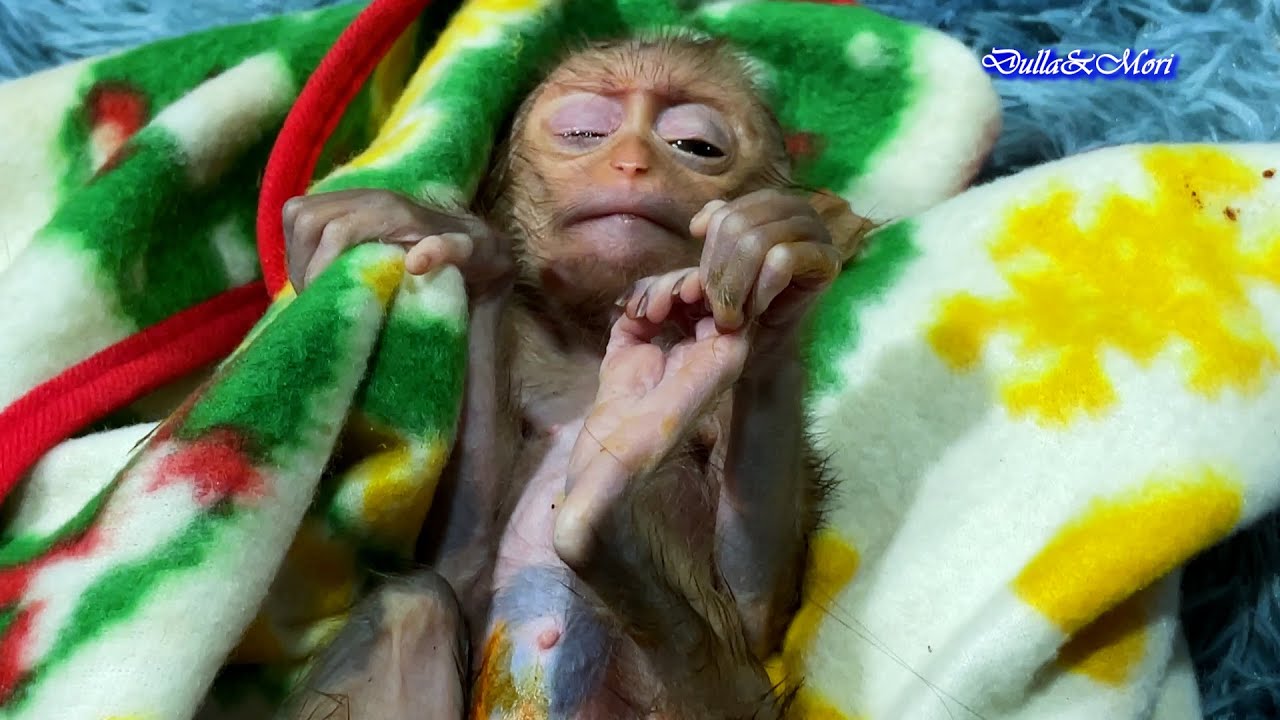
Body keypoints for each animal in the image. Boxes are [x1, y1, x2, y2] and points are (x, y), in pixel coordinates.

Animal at [276, 34, 867, 720]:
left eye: (696, 145)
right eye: (584, 132)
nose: (632, 163)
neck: (593, 345)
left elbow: (755, 612)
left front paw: (772, 257)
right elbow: (455, 565)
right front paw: (472, 254)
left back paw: (615, 481)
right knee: (413, 602)